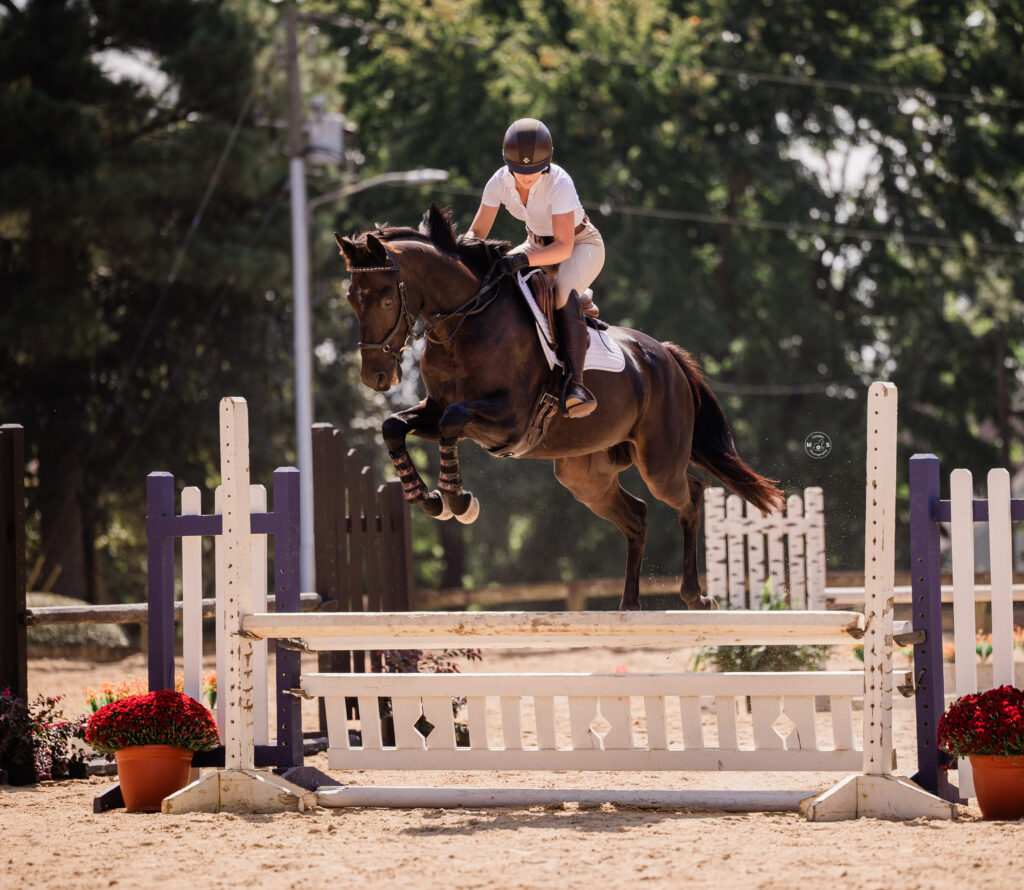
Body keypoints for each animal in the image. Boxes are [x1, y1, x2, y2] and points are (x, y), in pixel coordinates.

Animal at [334, 203, 784, 610]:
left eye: (387, 300)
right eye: (352, 300)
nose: (375, 378)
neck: (467, 321)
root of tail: (666, 356)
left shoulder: (508, 418)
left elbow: (451, 421)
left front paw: (456, 500)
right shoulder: (435, 406)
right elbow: (395, 425)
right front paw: (427, 498)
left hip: (658, 463)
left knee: (689, 495)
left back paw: (695, 596)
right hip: (584, 475)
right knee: (637, 516)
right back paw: (629, 606)